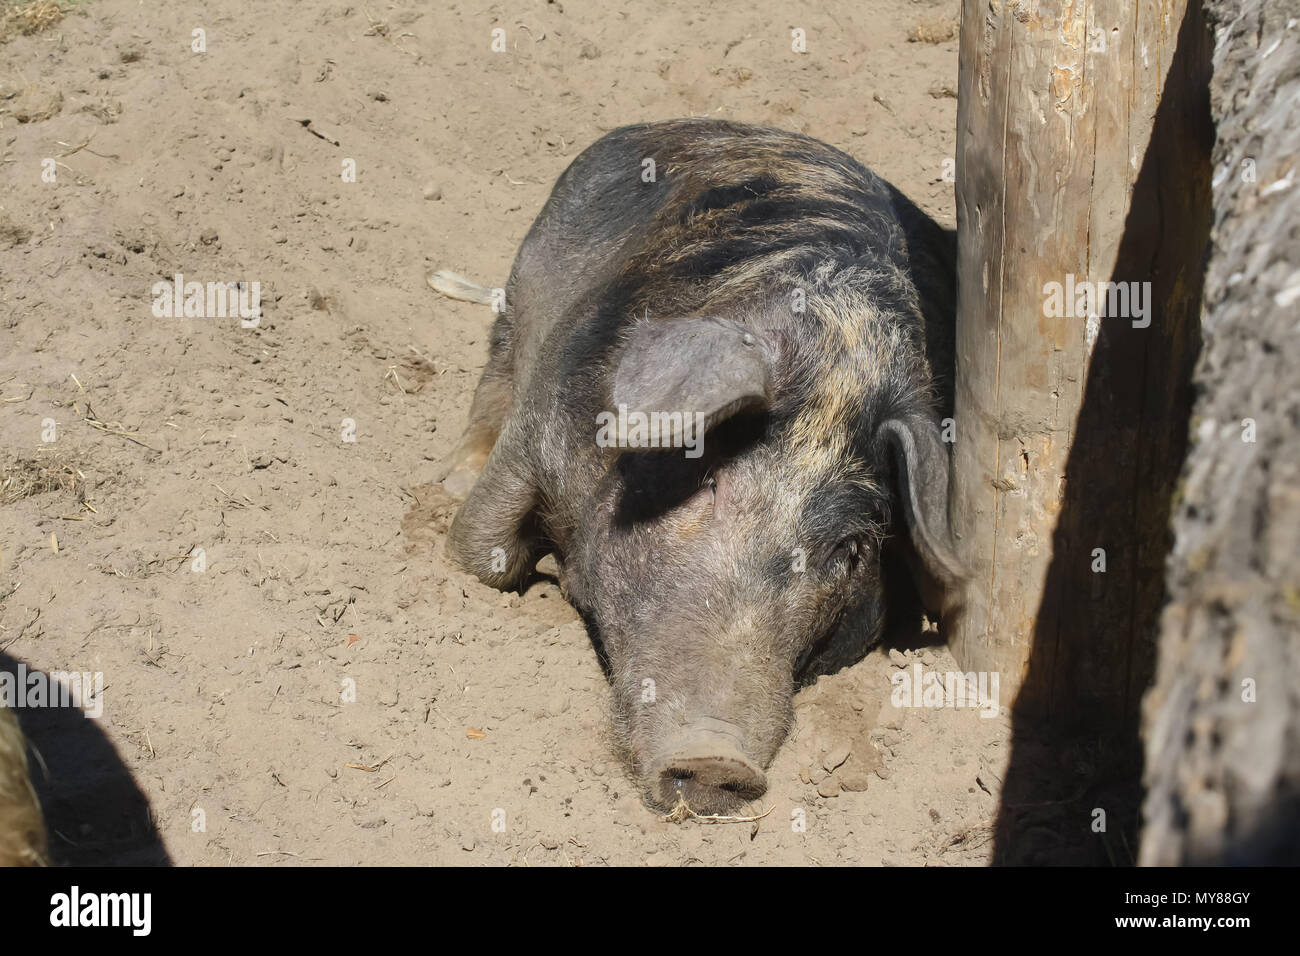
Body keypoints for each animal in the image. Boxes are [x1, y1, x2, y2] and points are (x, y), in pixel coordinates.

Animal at [429, 119, 963, 815]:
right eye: (704, 482)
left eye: (848, 549)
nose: (716, 760)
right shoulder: (543, 420)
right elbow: (482, 550)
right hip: (524, 285)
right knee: (497, 360)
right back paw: (453, 478)